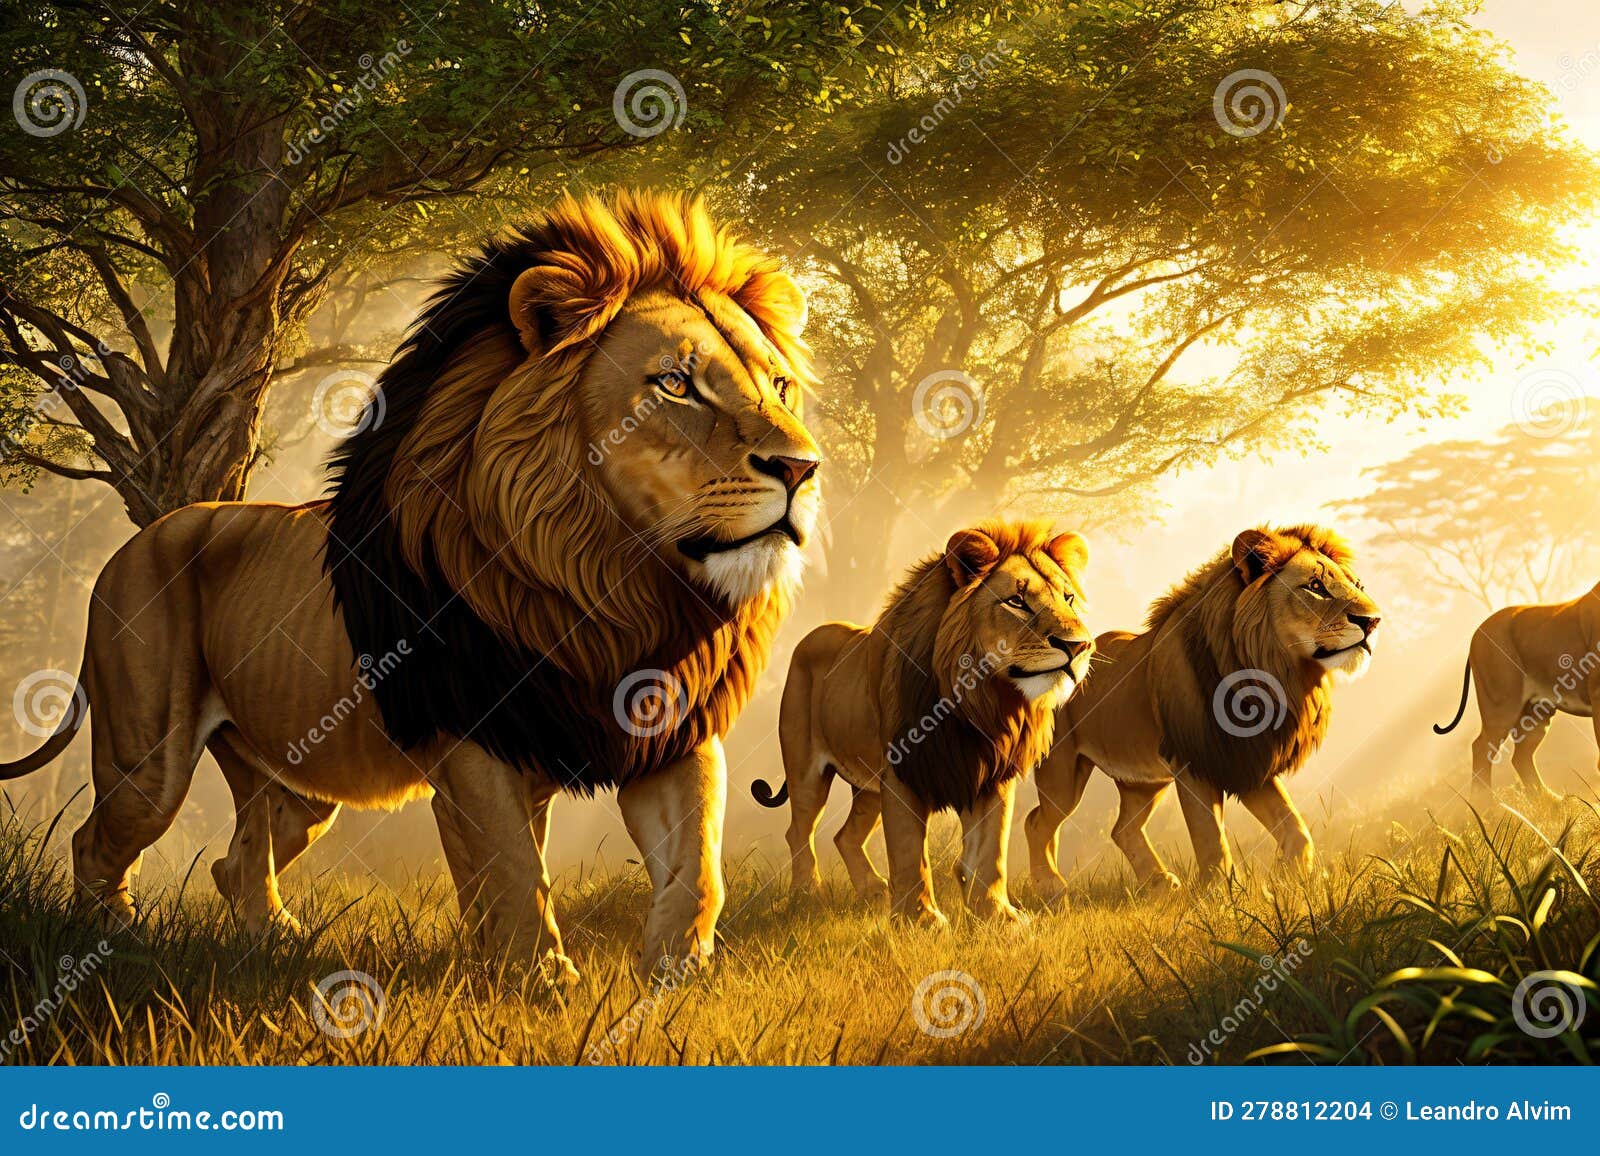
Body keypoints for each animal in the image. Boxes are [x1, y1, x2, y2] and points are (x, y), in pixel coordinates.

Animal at [0, 190, 822, 981]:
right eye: (676, 384)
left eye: (780, 386)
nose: (801, 467)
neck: (617, 584)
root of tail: (140, 539)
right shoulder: (470, 737)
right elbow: (513, 871)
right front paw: (542, 984)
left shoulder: (671, 733)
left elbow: (696, 870)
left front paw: (675, 979)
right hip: (149, 759)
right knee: (98, 843)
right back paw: (109, 943)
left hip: (295, 783)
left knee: (240, 857)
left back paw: (274, 943)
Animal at [750, 521, 1095, 926]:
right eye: (1016, 601)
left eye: (1068, 598)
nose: (1079, 646)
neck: (982, 702)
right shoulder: (903, 773)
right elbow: (908, 851)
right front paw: (922, 921)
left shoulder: (990, 773)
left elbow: (991, 850)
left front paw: (997, 916)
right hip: (807, 772)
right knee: (798, 831)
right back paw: (808, 894)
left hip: (867, 787)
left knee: (845, 836)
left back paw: (873, 892)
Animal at [1025, 526, 1380, 899]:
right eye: (1315, 586)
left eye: (1358, 585)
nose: (1372, 621)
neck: (1279, 675)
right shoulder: (1195, 762)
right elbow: (1210, 837)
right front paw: (1219, 896)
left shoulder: (1247, 760)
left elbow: (1296, 830)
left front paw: (1289, 880)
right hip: (1063, 769)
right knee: (1037, 821)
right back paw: (1050, 886)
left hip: (1143, 780)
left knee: (1122, 829)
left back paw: (1158, 883)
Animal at [1433, 582, 1599, 801]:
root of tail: (1477, 633)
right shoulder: (1598, 691)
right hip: (1501, 706)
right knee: (1482, 747)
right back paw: (1487, 804)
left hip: (1536, 710)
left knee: (1521, 756)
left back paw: (1552, 801)